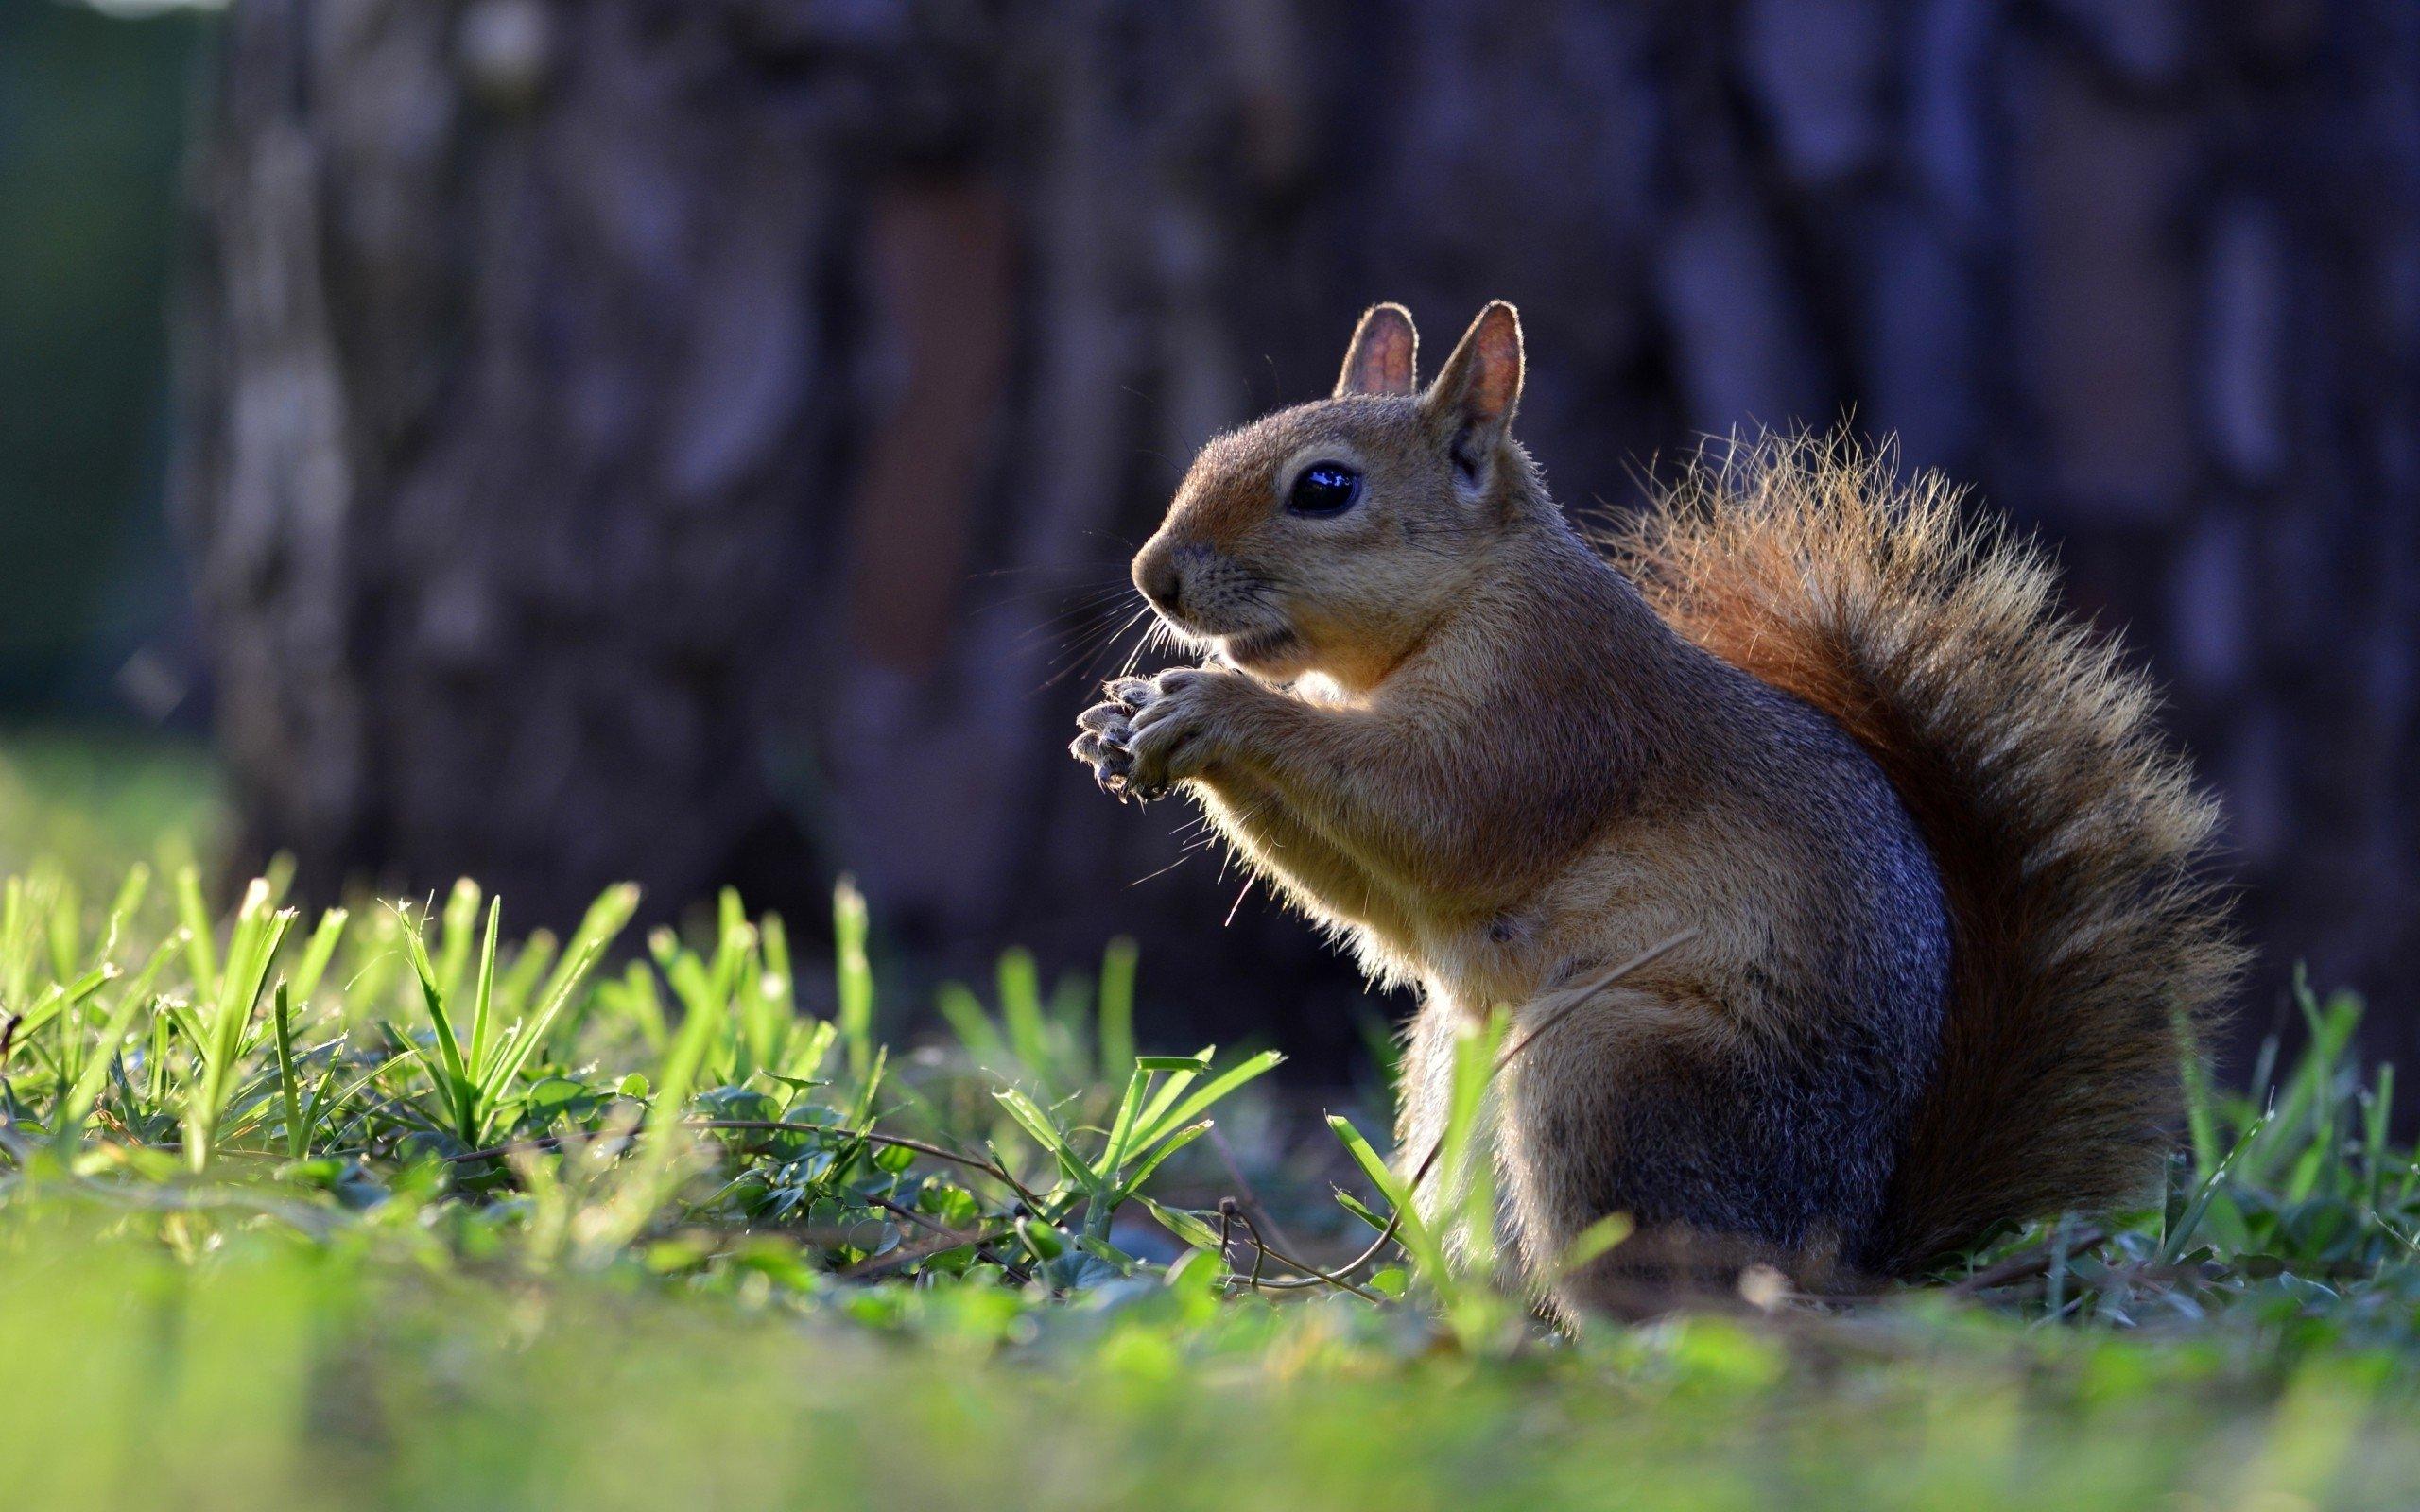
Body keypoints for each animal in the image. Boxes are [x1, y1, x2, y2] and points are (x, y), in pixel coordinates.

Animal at [1070, 300, 2243, 1312]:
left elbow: (1435, 815)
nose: (1152, 575)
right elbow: (1384, 914)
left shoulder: (1550, 714)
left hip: (1606, 1066)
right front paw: (1120, 725)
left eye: (1323, 487)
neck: (1459, 606)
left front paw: (1213, 704)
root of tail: (1843, 1252)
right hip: (1458, 1063)